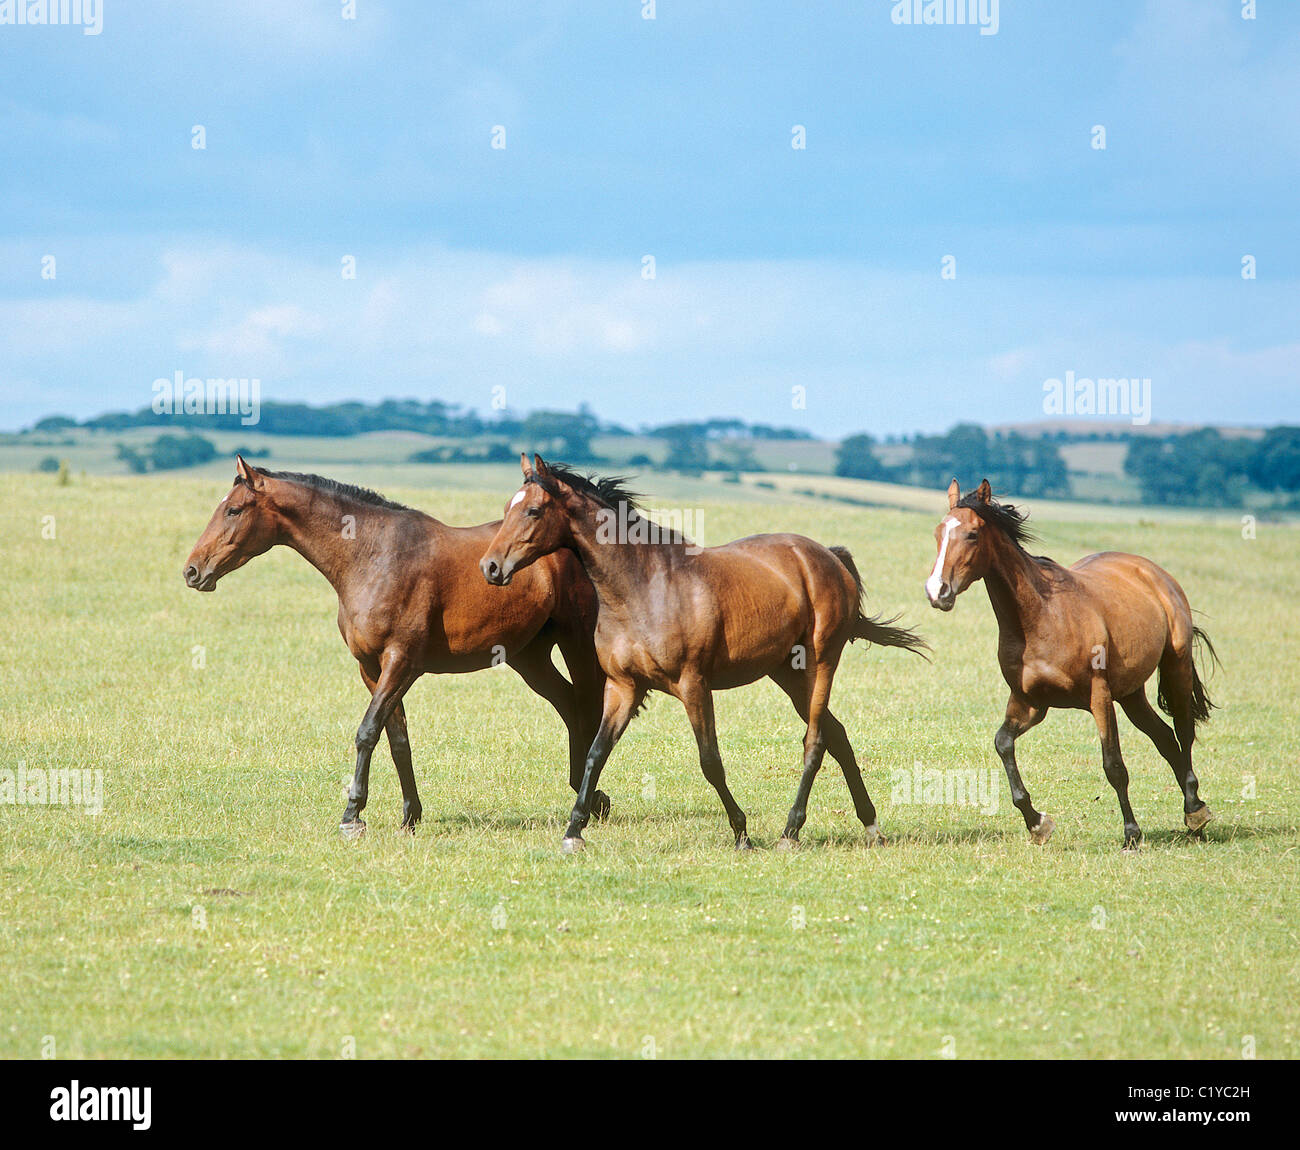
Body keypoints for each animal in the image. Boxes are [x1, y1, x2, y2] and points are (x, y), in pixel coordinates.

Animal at [184, 452, 608, 836]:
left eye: (234, 510)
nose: (192, 570)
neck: (374, 557)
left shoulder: (401, 662)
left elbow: (367, 732)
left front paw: (352, 816)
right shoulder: (372, 669)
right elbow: (397, 739)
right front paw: (409, 816)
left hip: (577, 648)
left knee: (589, 708)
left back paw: (588, 802)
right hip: (529, 657)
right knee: (570, 706)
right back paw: (592, 798)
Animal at [478, 452, 925, 847]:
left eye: (533, 511)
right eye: (508, 508)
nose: (490, 567)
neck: (643, 588)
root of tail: (827, 557)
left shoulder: (693, 685)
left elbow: (710, 761)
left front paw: (742, 834)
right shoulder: (623, 687)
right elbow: (595, 754)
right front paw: (573, 833)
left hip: (821, 664)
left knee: (815, 742)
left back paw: (790, 832)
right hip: (789, 673)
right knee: (837, 735)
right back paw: (871, 828)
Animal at [920, 480, 1211, 847]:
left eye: (972, 534)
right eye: (937, 532)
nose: (937, 591)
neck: (1041, 616)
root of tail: (1153, 572)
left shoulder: (1099, 697)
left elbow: (1114, 765)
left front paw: (1131, 834)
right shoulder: (1030, 702)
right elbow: (1003, 744)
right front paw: (1037, 823)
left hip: (1176, 666)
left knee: (1183, 731)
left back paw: (1195, 810)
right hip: (1130, 694)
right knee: (1165, 738)